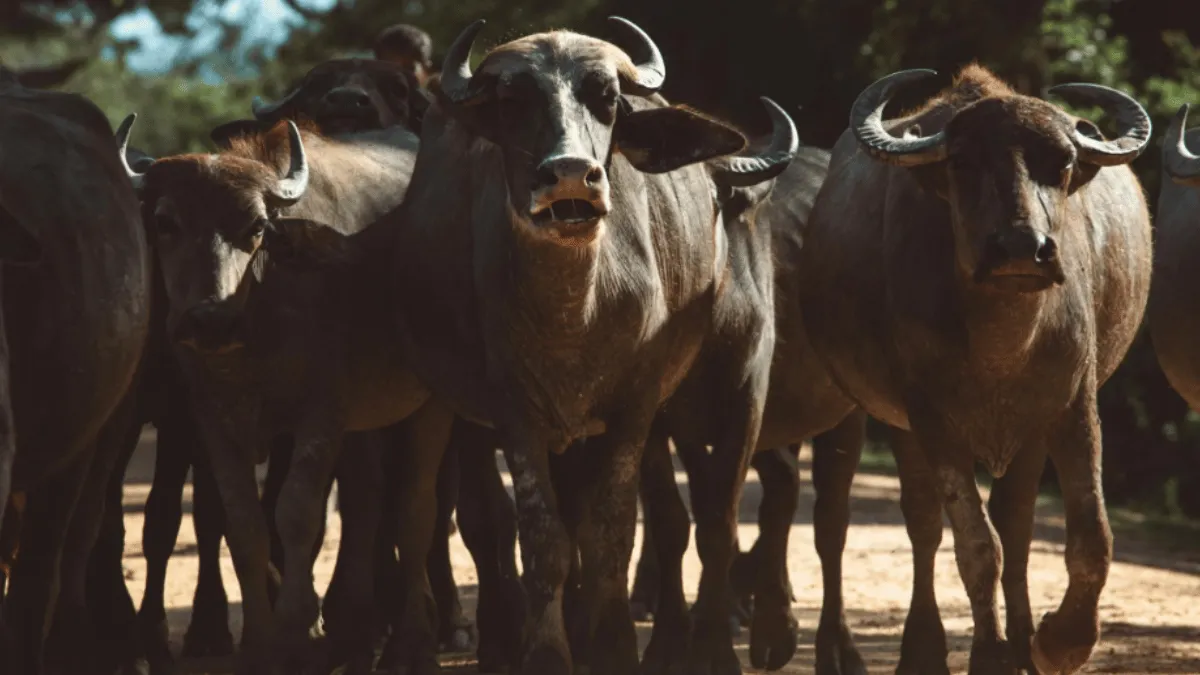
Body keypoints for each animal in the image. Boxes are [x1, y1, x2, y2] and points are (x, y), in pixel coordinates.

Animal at [117, 116, 445, 675]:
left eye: (256, 228)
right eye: (165, 222)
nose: (211, 319)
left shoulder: (321, 415)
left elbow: (296, 514)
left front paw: (295, 629)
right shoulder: (210, 421)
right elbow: (243, 524)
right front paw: (261, 640)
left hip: (432, 405)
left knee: (415, 509)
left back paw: (411, 642)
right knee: (366, 500)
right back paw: (355, 636)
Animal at [391, 17, 797, 675]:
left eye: (607, 99)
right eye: (512, 100)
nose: (570, 174)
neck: (573, 315)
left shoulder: (650, 408)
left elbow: (623, 529)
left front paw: (621, 645)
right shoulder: (515, 413)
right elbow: (544, 537)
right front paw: (548, 651)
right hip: (439, 407)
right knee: (423, 512)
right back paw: (429, 644)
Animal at [796, 65, 1151, 674]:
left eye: (1061, 162)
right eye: (963, 162)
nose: (1021, 248)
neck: (1002, 342)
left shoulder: (1073, 404)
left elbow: (1092, 536)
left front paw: (1059, 641)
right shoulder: (930, 417)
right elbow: (976, 545)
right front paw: (989, 653)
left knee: (1015, 521)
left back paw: (1021, 639)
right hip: (869, 415)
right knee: (881, 522)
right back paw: (910, 650)